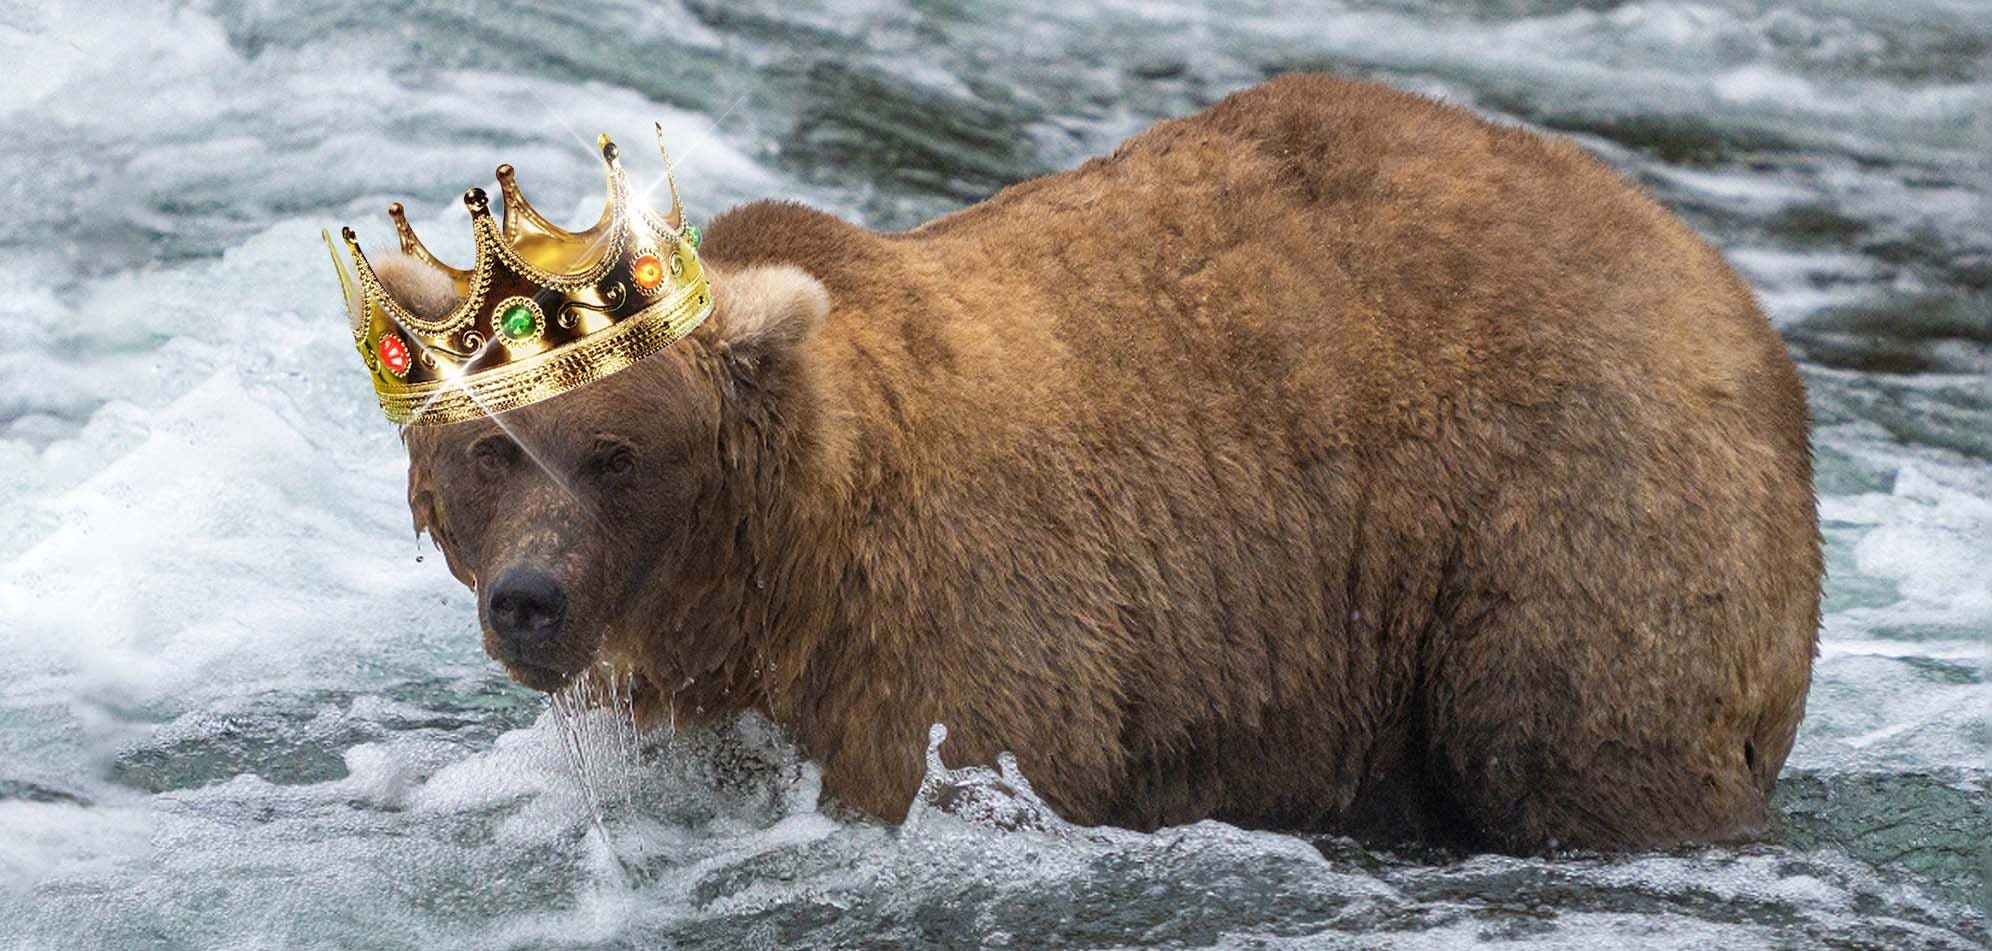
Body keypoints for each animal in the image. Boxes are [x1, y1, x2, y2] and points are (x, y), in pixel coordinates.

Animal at [388, 73, 1821, 853]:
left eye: (614, 450)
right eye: (485, 453)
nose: (530, 600)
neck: (777, 569)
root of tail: (1723, 286)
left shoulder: (955, 631)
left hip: (1569, 505)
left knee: (1570, 740)